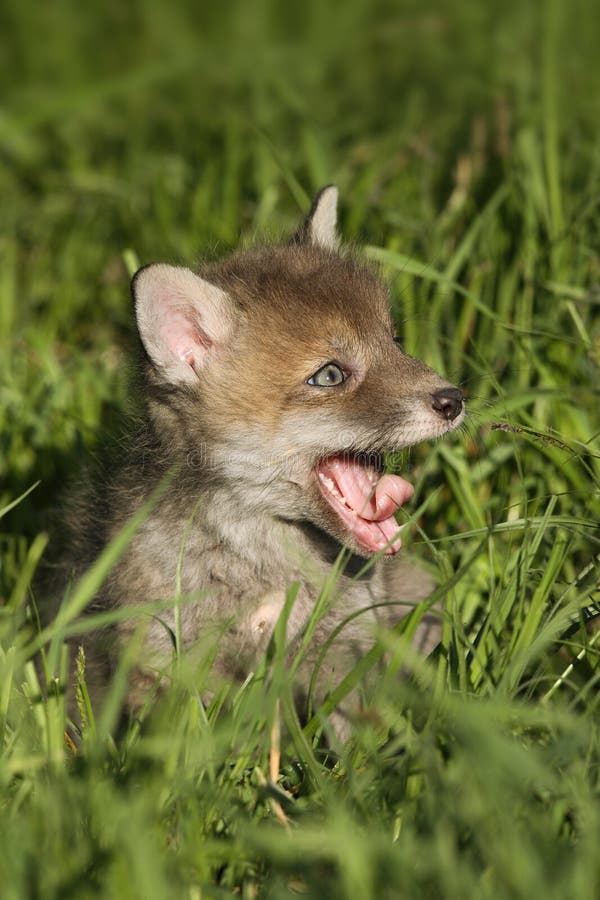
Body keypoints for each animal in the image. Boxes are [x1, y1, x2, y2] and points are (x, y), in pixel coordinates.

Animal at [49, 185, 464, 738]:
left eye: (394, 342)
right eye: (330, 375)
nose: (454, 400)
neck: (260, 567)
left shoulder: (343, 646)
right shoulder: (163, 662)